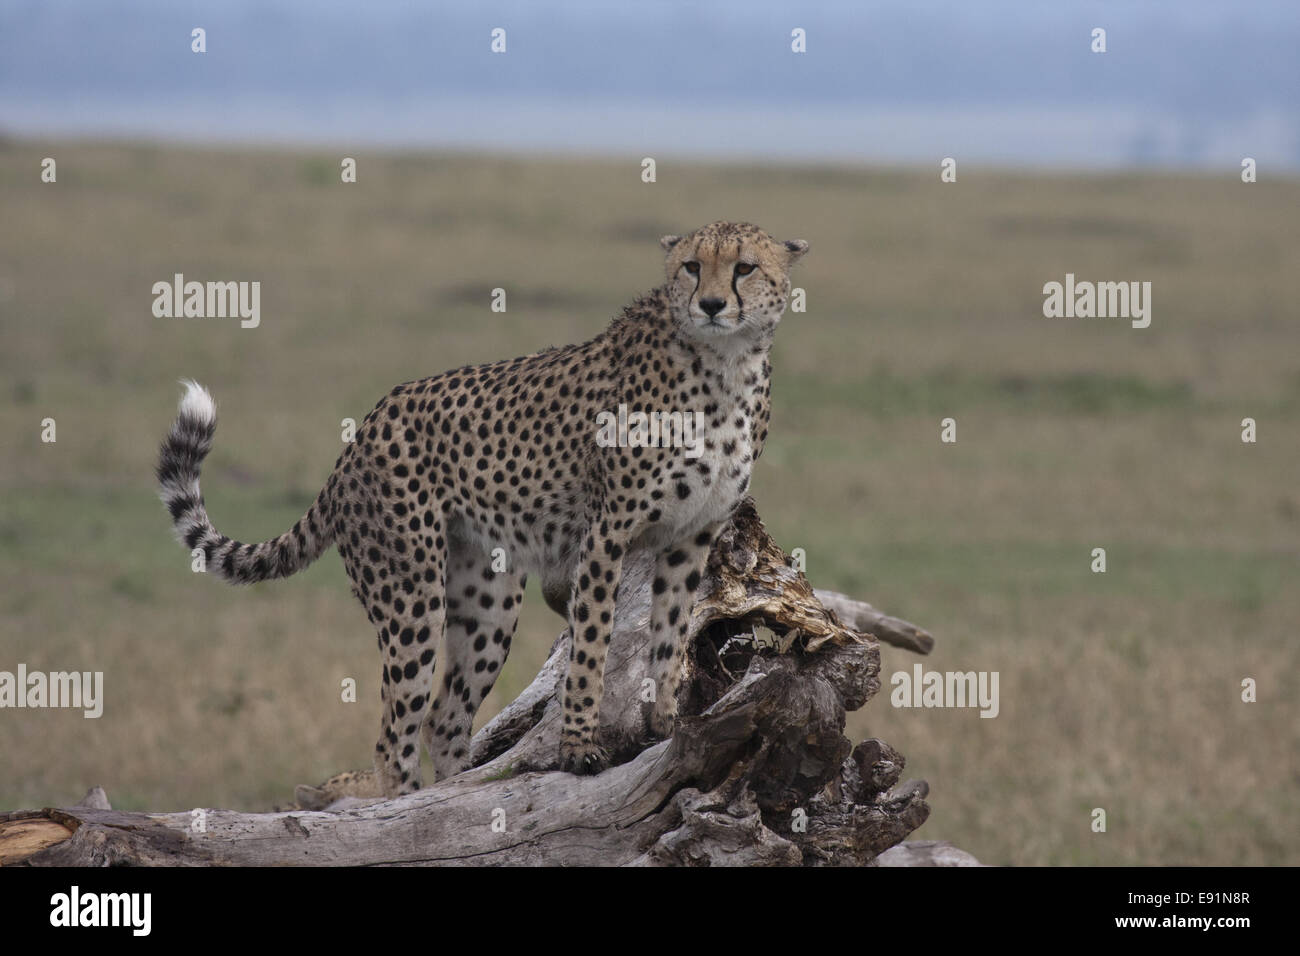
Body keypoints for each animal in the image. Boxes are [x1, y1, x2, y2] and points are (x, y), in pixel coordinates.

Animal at [156, 220, 808, 798]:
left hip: (488, 601)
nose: (712, 304)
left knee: (444, 718)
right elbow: (591, 646)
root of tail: (363, 430)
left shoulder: (691, 537)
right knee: (395, 735)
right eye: (692, 266)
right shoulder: (606, 534)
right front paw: (578, 749)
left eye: (745, 267)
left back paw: (451, 794)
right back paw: (403, 813)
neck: (725, 364)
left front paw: (666, 725)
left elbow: (670, 635)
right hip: (411, 595)